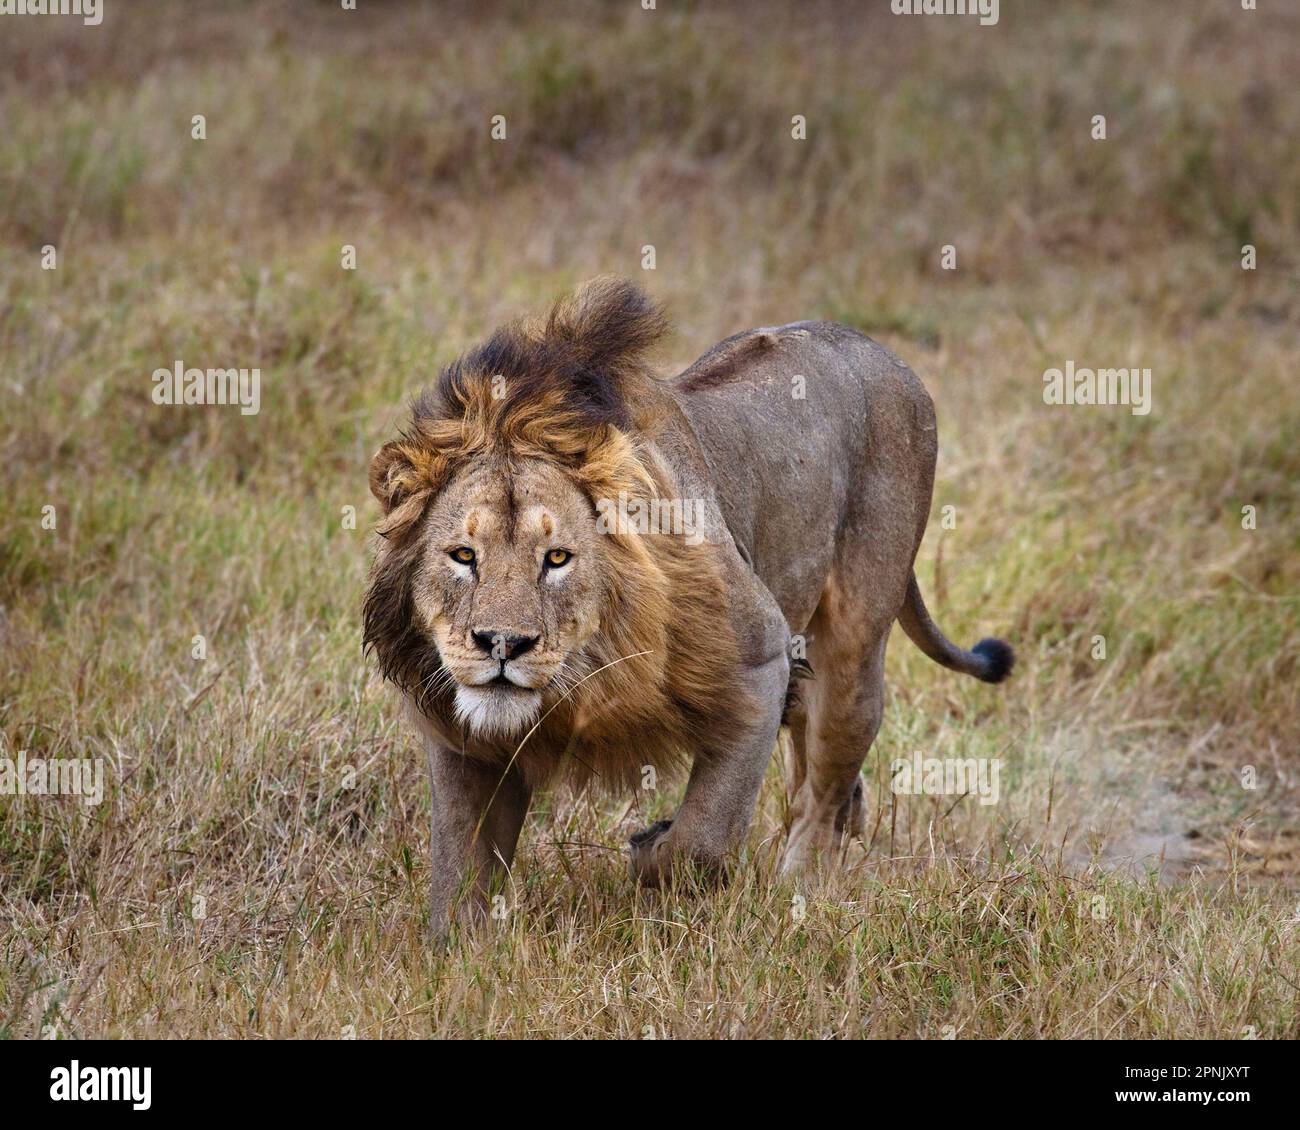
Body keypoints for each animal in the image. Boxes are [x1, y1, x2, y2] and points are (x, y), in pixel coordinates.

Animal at [363, 277, 1013, 936]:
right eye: (463, 555)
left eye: (558, 558)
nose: (502, 643)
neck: (587, 671)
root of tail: (885, 355)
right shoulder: (459, 736)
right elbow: (458, 871)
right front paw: (459, 953)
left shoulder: (760, 665)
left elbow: (701, 842)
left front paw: (651, 846)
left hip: (854, 652)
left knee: (822, 796)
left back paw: (799, 893)